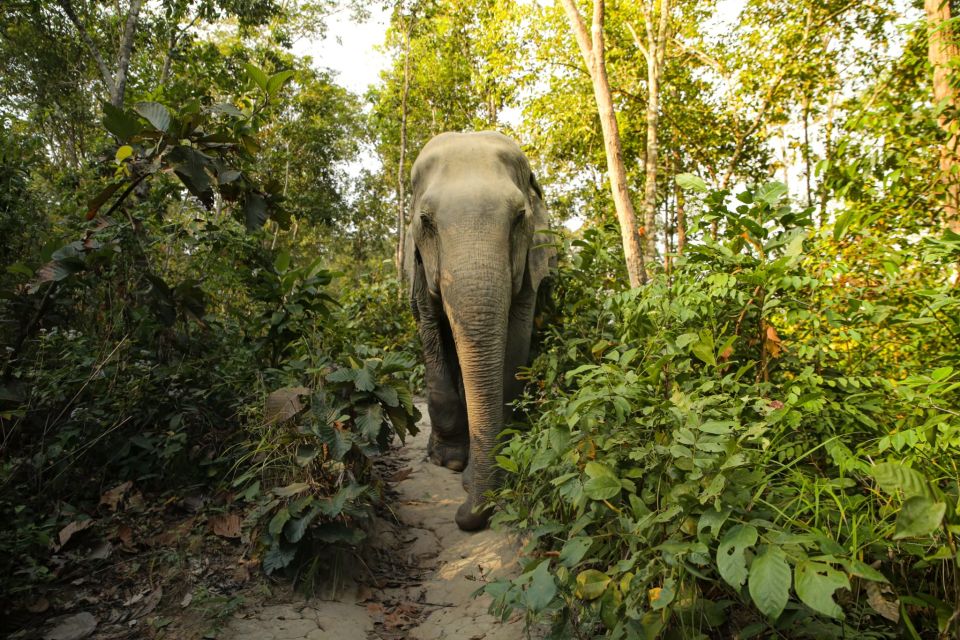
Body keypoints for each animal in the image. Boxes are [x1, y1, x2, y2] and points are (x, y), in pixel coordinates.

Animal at [404, 131, 554, 531]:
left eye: (520, 218)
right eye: (426, 221)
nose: (461, 515)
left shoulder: (531, 263)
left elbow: (514, 347)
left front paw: (480, 476)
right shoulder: (419, 270)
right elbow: (431, 332)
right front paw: (451, 462)